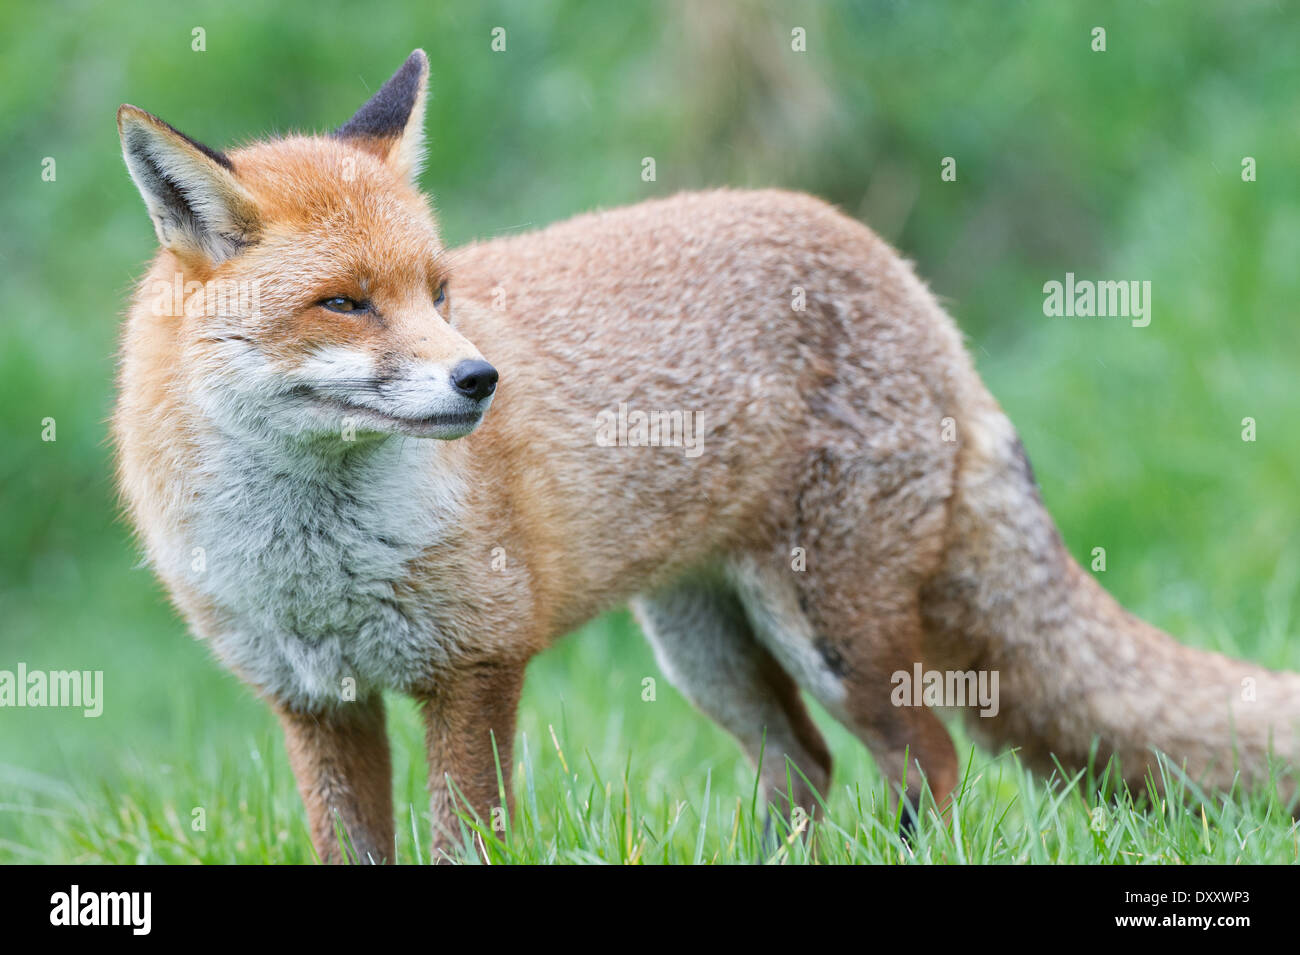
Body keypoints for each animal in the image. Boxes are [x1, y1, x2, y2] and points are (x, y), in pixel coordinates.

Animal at [114, 50, 1299, 863]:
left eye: (439, 292)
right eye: (345, 304)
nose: (480, 380)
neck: (312, 555)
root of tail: (894, 267)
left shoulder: (479, 667)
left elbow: (465, 838)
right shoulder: (318, 704)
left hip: (834, 628)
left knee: (927, 758)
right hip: (707, 647)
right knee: (806, 766)